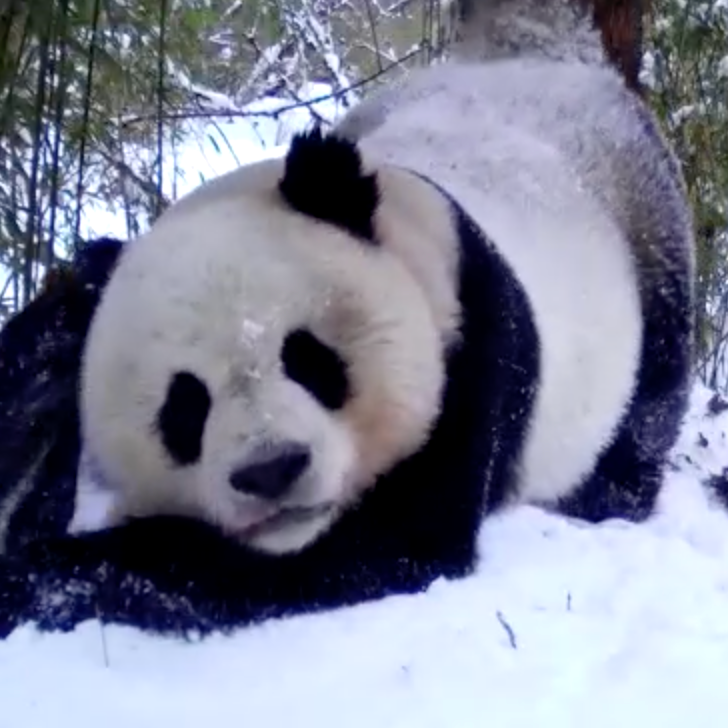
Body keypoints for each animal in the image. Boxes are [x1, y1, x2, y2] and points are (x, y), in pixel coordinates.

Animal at [0, 0, 694, 638]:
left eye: (310, 358)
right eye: (185, 407)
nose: (271, 471)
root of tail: (545, 49)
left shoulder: (469, 350)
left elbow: (383, 545)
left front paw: (46, 571)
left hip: (648, 230)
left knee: (650, 397)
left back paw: (606, 495)